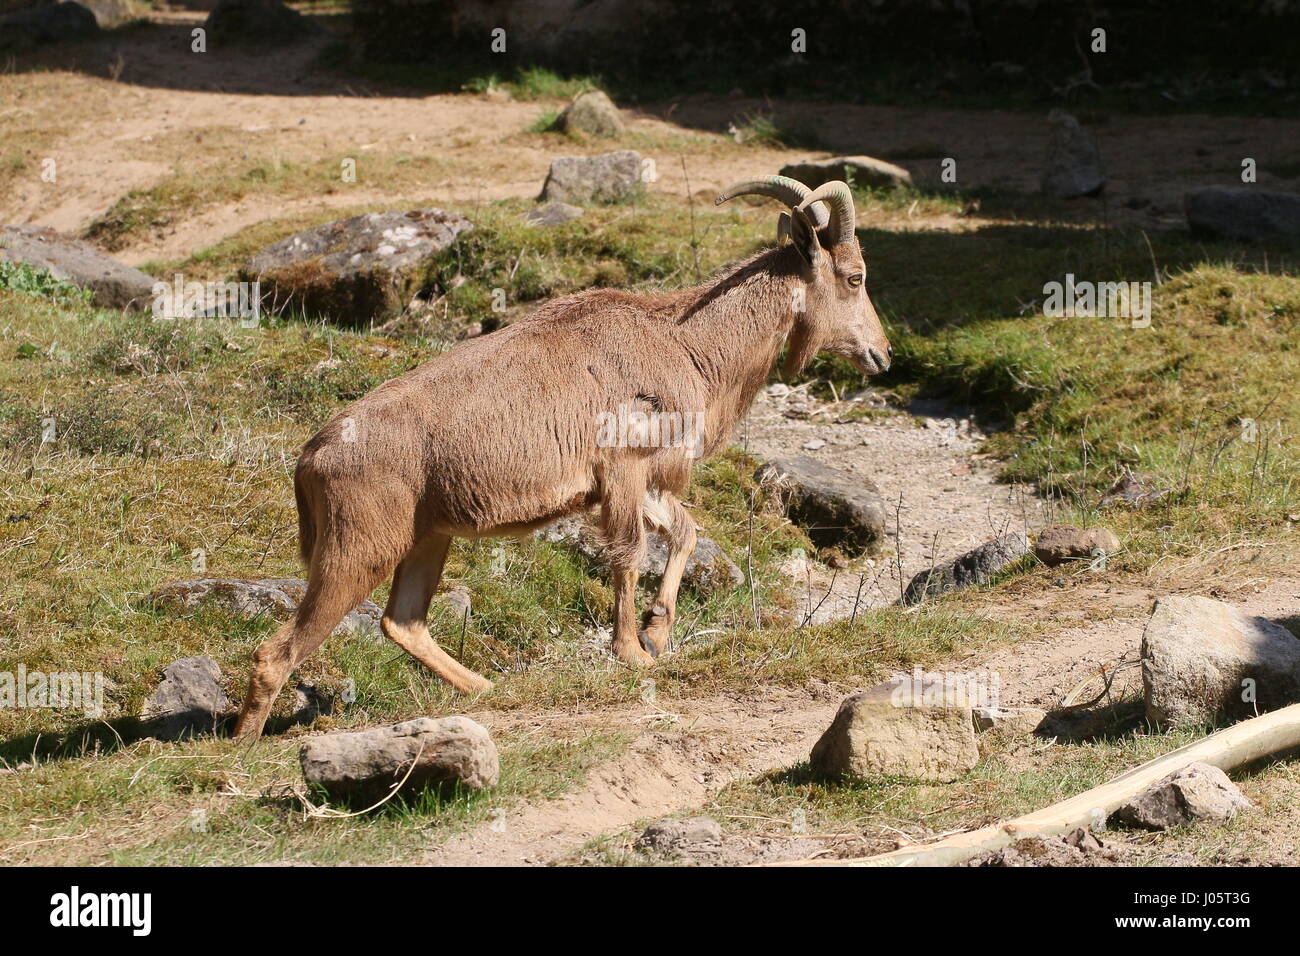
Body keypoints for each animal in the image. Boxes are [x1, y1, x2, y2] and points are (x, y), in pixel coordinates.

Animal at [234, 176, 891, 738]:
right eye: (855, 277)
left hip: (426, 538)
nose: (882, 355)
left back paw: (485, 687)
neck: (684, 342)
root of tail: (311, 459)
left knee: (403, 620)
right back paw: (243, 742)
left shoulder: (642, 481)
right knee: (277, 652)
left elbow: (682, 533)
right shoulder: (623, 473)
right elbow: (629, 553)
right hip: (357, 549)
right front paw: (632, 652)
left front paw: (657, 630)